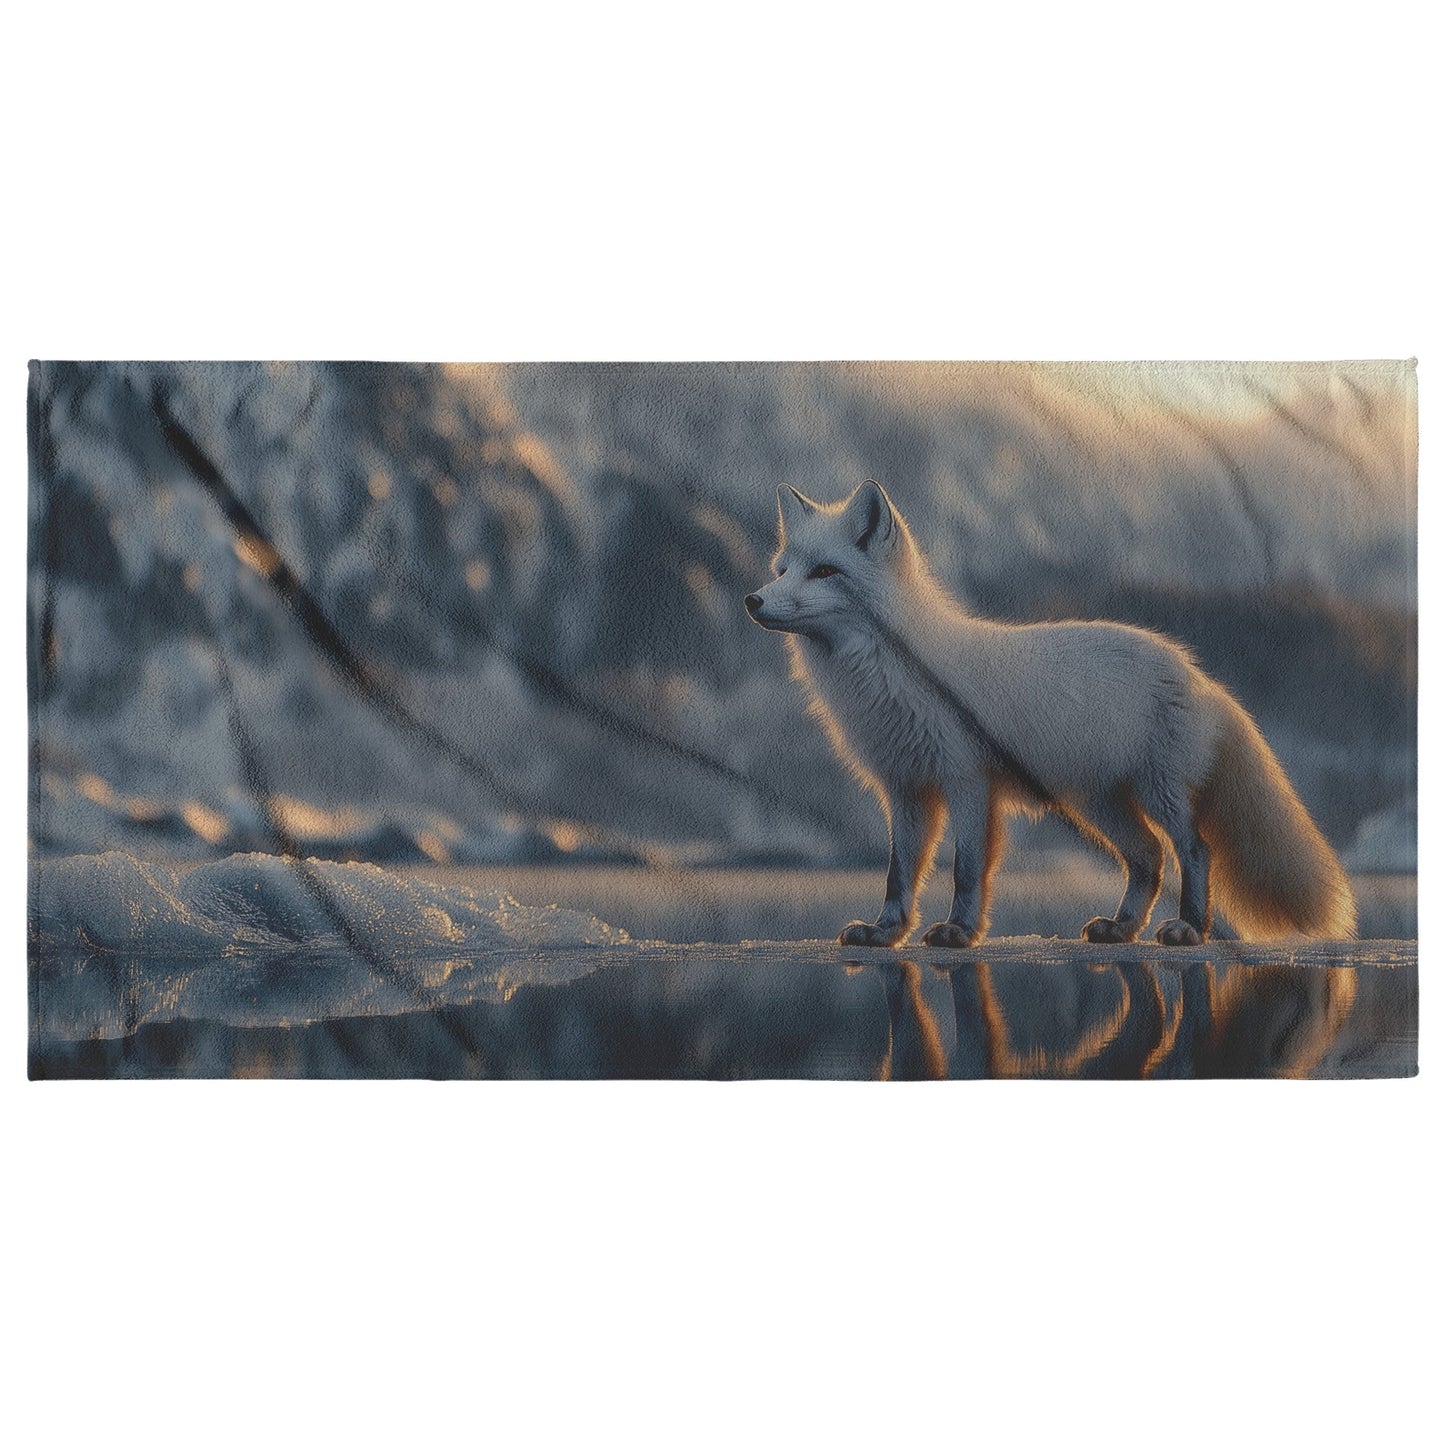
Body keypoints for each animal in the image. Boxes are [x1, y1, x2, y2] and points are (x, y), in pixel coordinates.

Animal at [744, 480, 1356, 949]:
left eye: (825, 572)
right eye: (782, 569)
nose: (753, 600)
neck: (899, 677)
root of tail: (1196, 673)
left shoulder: (967, 782)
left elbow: (967, 870)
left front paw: (960, 933)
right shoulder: (906, 789)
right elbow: (899, 876)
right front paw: (886, 933)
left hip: (1157, 792)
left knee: (1193, 849)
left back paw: (1188, 928)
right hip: (1098, 805)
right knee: (1149, 856)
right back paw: (1122, 928)